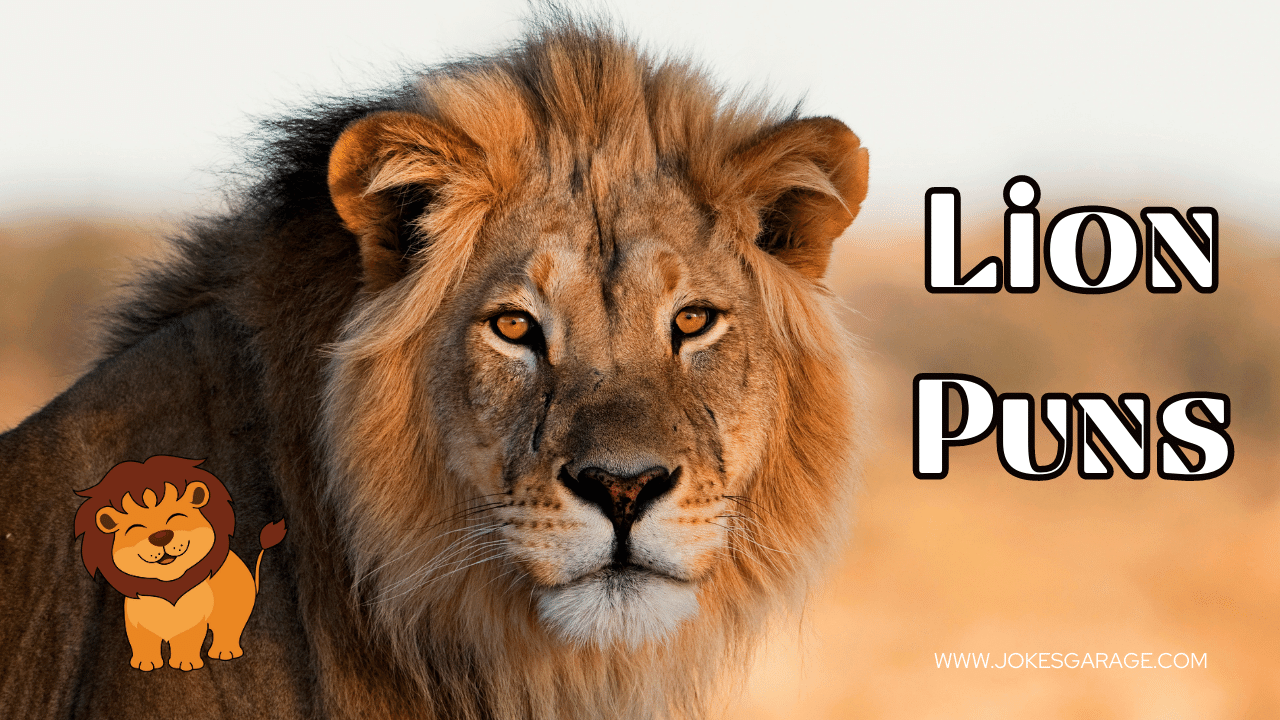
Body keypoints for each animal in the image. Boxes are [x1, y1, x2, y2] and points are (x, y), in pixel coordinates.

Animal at [73, 455, 287, 671]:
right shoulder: (137, 623)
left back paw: (225, 653)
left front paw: (186, 664)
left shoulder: (193, 621)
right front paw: (145, 664)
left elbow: (188, 639)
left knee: (228, 628)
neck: (168, 586)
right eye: (136, 528)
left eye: (176, 518)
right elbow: (142, 641)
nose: (161, 536)